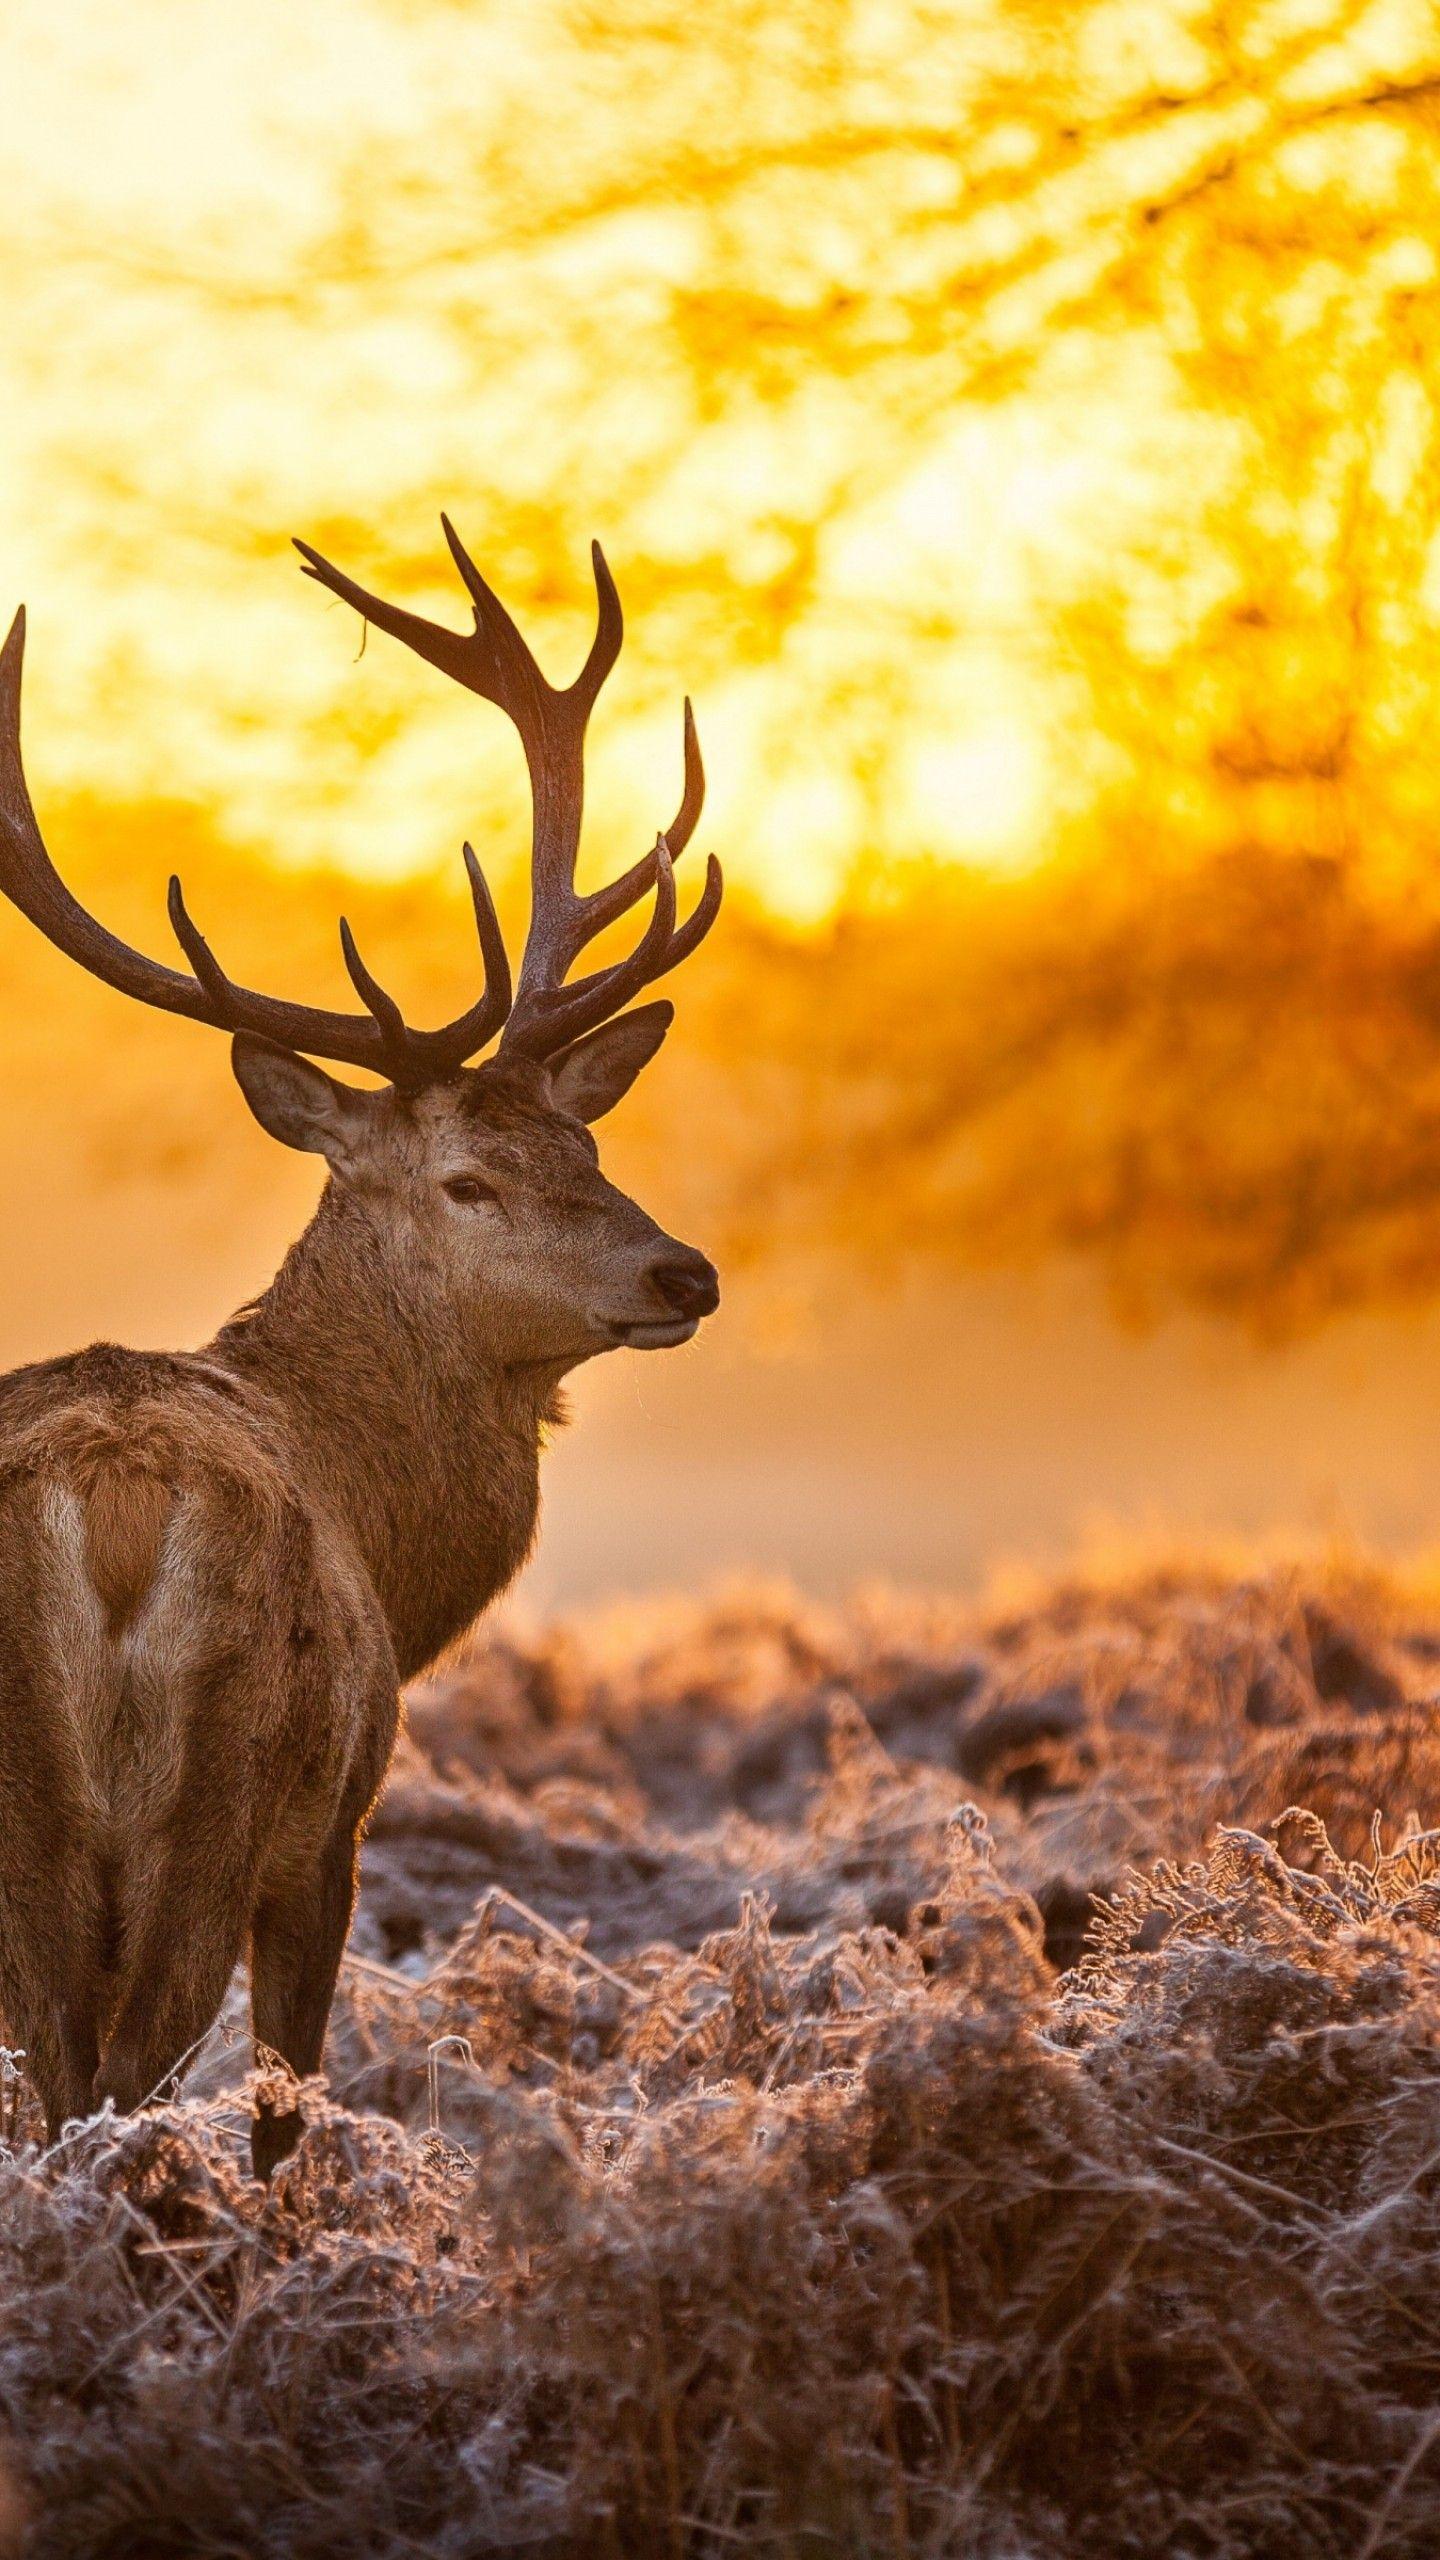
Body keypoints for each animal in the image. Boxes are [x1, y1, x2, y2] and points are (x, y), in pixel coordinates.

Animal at [0, 518, 722, 2176]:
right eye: (466, 1179)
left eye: (587, 1141)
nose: (686, 1270)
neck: (393, 1544)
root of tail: (110, 1505)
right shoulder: (335, 1824)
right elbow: (288, 2104)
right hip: (216, 1793)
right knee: (119, 2079)